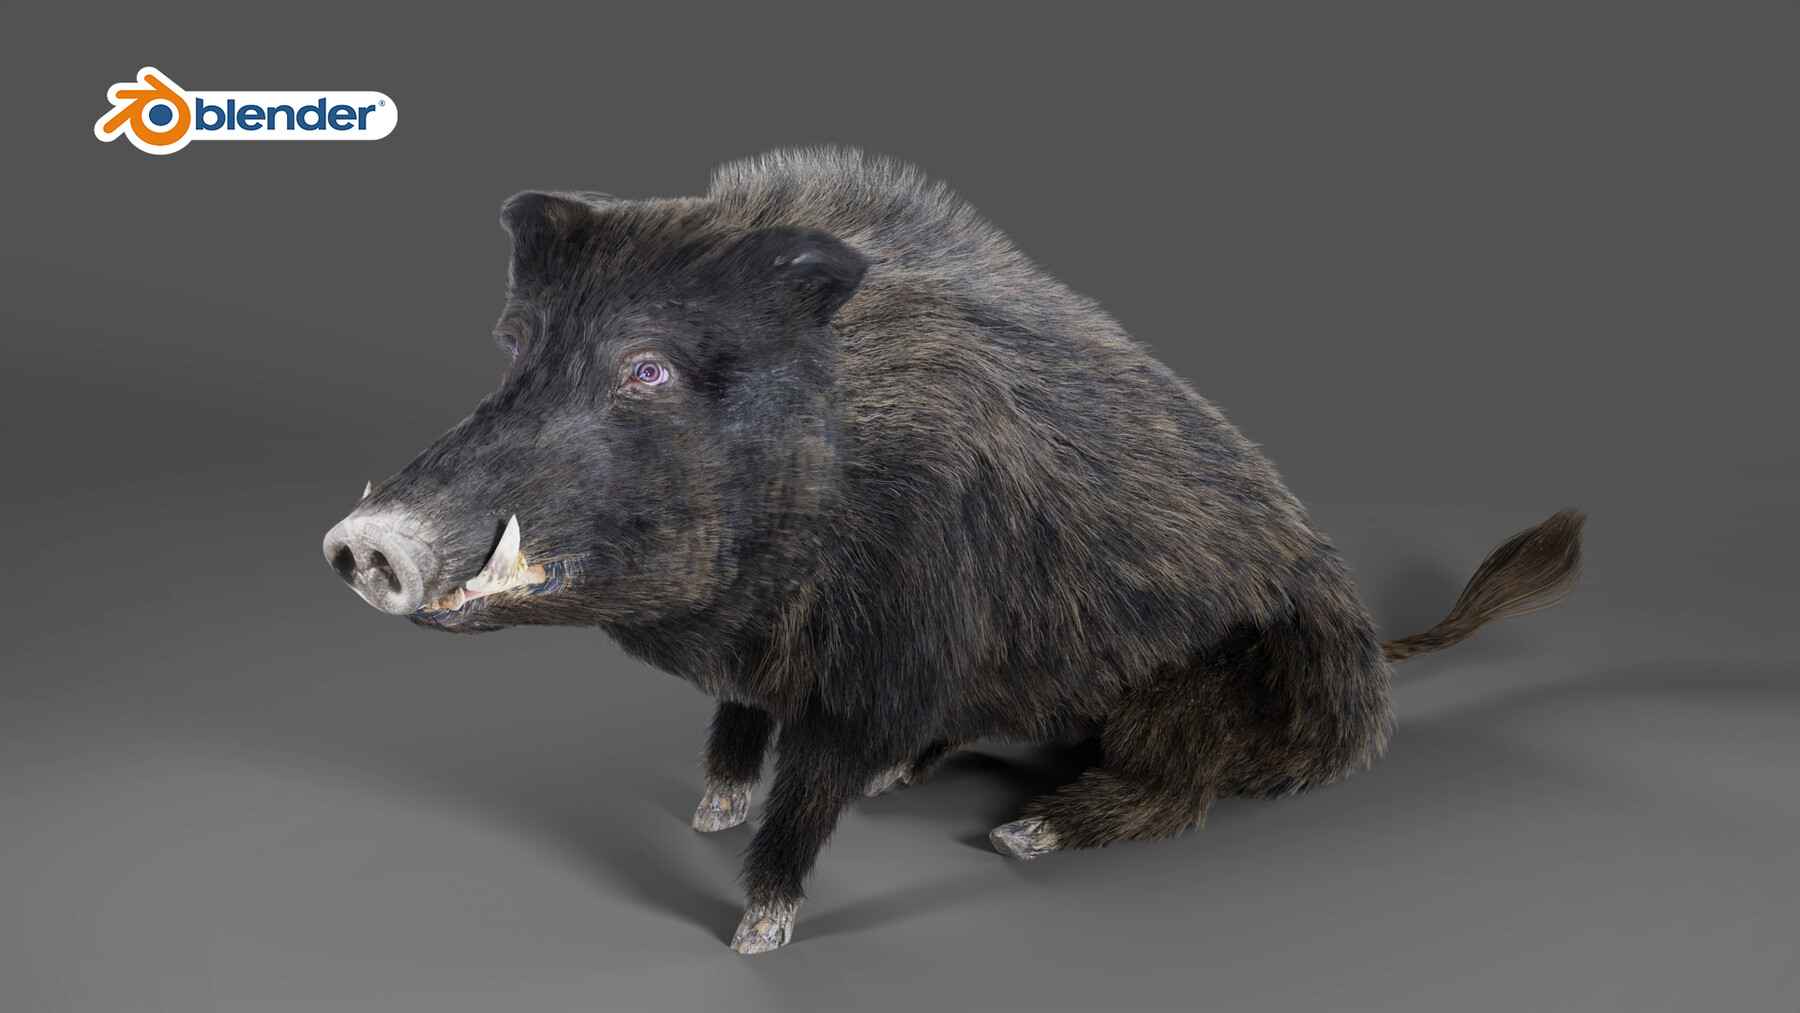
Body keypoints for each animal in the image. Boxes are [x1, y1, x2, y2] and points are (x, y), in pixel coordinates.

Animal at [321, 147, 1585, 954]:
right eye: (517, 340)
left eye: (648, 367)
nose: (362, 542)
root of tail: (1375, 656)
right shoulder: (776, 663)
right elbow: (739, 728)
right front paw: (709, 813)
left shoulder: (875, 667)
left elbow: (808, 795)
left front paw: (754, 935)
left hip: (1221, 698)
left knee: (1175, 789)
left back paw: (1025, 830)